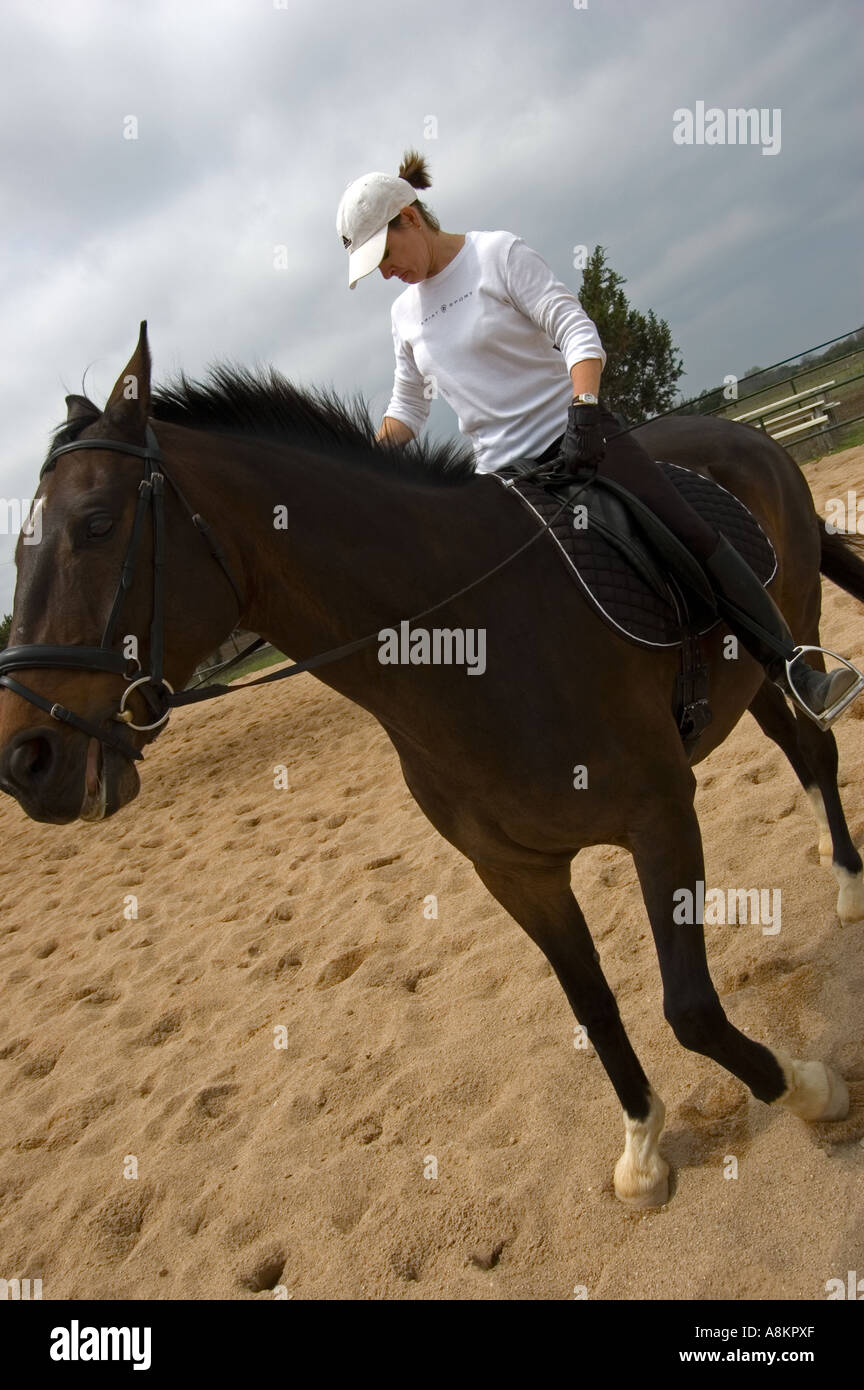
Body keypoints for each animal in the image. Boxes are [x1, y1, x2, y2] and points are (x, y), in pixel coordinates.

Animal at [1, 322, 861, 1208]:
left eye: (96, 524)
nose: (26, 763)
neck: (472, 637)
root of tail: (741, 434)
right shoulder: (513, 871)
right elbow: (591, 1005)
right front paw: (643, 1148)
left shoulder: (659, 819)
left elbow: (689, 1009)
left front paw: (810, 1089)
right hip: (742, 683)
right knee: (795, 750)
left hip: (791, 625)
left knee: (817, 744)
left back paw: (847, 887)